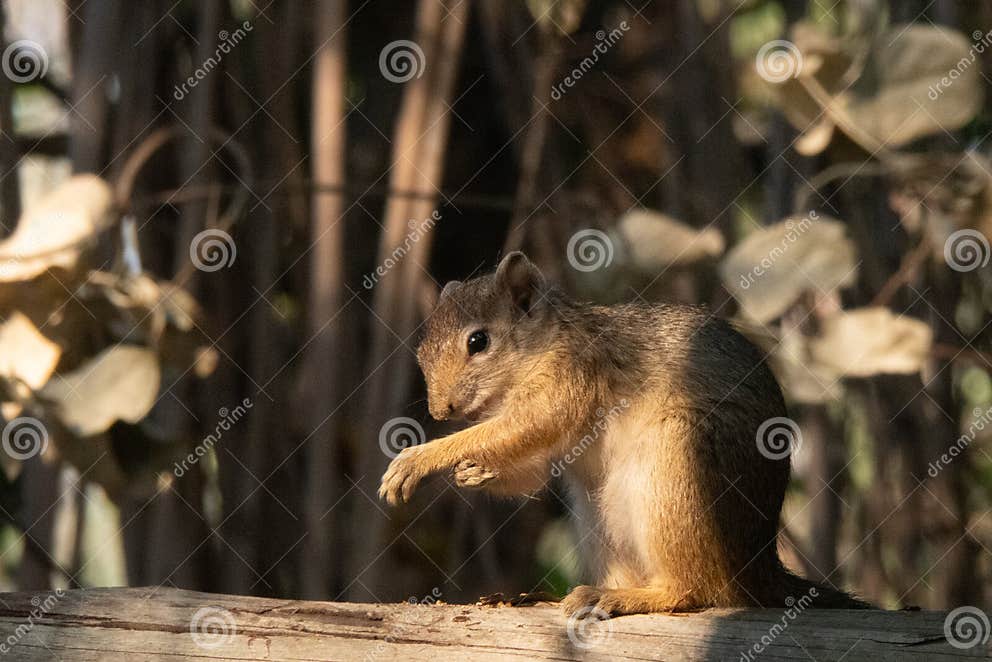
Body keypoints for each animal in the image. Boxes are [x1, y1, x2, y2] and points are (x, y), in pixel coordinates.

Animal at [379, 251, 870, 616]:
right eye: (421, 350)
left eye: (478, 341)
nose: (440, 410)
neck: (546, 343)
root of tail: (757, 566)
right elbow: (531, 472)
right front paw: (473, 472)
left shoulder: (573, 377)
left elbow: (531, 424)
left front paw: (420, 459)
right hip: (599, 515)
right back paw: (557, 596)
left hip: (676, 470)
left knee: (702, 591)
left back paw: (621, 597)